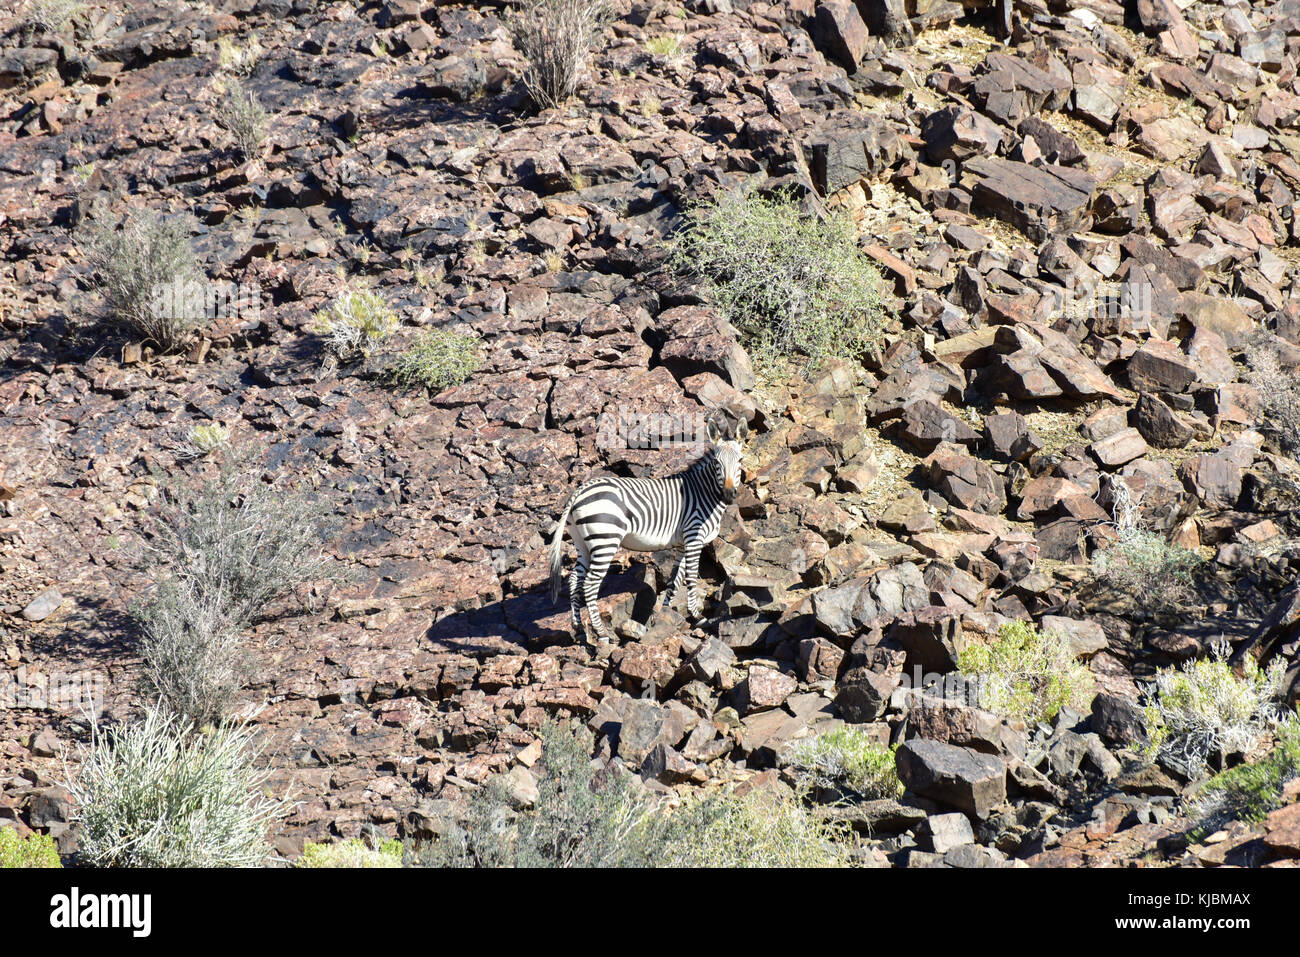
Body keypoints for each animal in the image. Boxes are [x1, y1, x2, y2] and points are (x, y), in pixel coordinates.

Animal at [548, 416, 748, 643]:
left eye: (740, 461)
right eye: (716, 463)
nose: (729, 495)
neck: (703, 493)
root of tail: (579, 490)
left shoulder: (682, 544)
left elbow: (674, 580)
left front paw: (665, 612)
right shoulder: (694, 536)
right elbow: (690, 577)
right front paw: (697, 616)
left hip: (582, 543)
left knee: (575, 579)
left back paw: (579, 629)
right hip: (605, 540)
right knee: (589, 584)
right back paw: (601, 633)